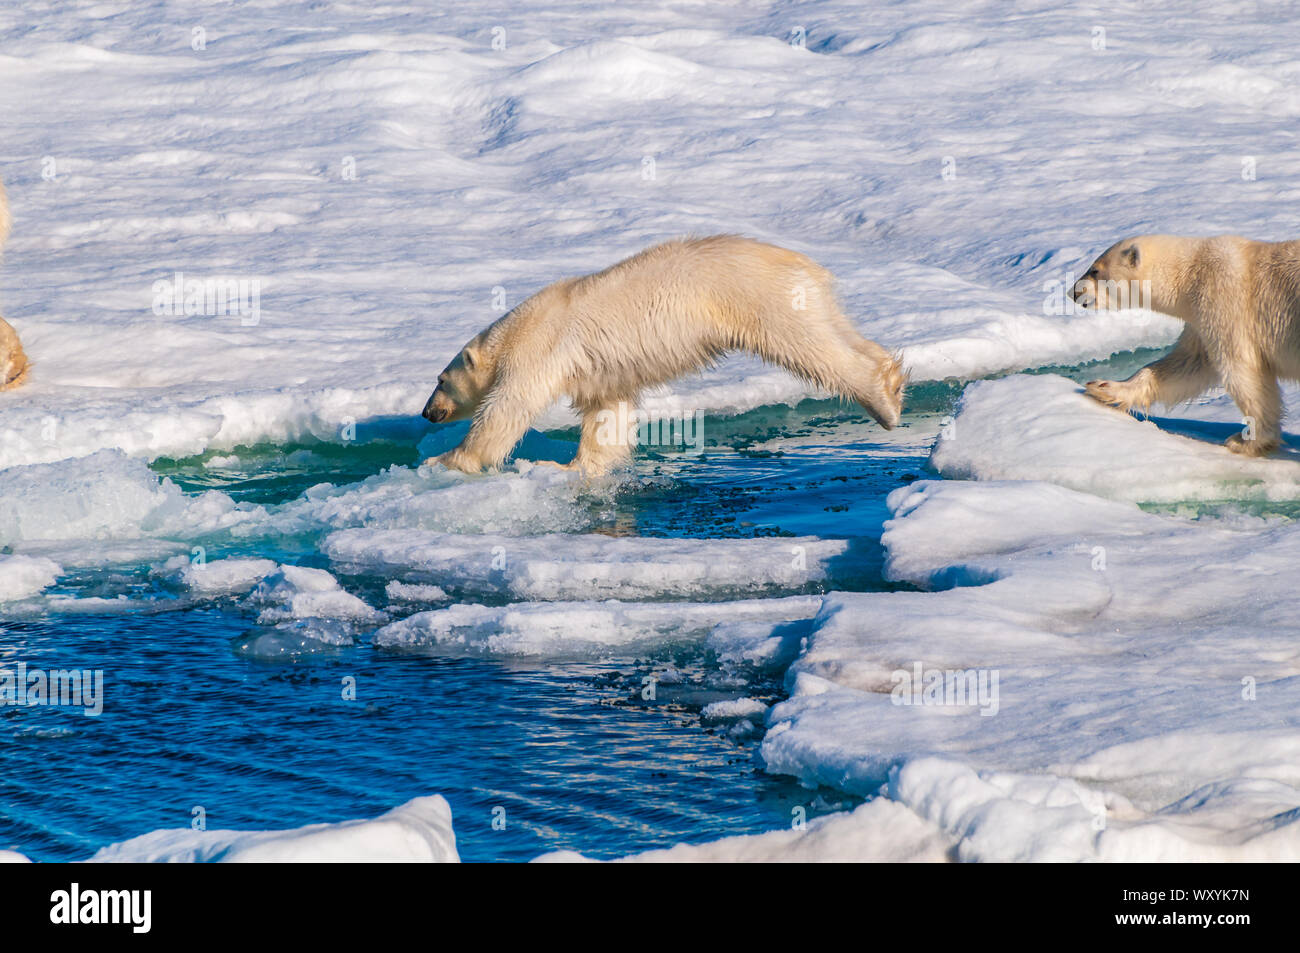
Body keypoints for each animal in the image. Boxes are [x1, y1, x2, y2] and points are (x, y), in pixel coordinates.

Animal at [421, 235, 905, 475]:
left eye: (439, 381)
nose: (427, 412)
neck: (514, 329)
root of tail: (805, 266)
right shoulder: (600, 372)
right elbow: (607, 414)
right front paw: (575, 468)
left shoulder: (541, 346)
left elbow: (510, 405)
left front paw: (446, 460)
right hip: (812, 300)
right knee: (837, 332)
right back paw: (892, 378)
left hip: (761, 299)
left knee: (809, 348)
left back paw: (882, 402)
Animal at [1073, 234, 1300, 456]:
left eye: (1094, 270)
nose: (1073, 292)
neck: (1190, 270)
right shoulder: (1198, 320)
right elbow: (1189, 364)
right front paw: (1103, 387)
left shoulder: (1224, 301)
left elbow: (1243, 370)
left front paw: (1246, 441)